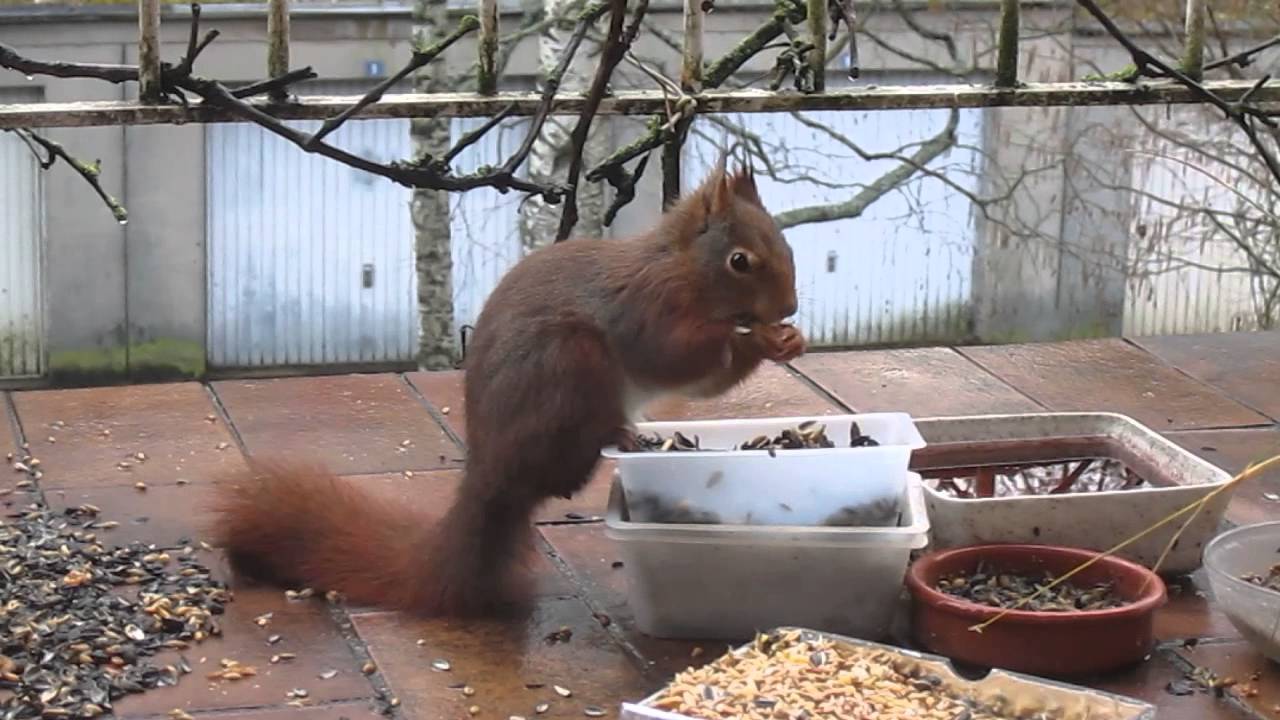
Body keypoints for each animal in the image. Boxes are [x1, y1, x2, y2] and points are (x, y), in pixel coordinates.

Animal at [204, 158, 807, 617]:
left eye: (787, 247)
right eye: (740, 261)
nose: (790, 308)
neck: (682, 271)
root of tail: (490, 474)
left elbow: (708, 382)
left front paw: (788, 340)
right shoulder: (645, 310)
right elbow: (677, 358)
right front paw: (754, 338)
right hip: (571, 367)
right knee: (564, 473)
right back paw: (617, 435)